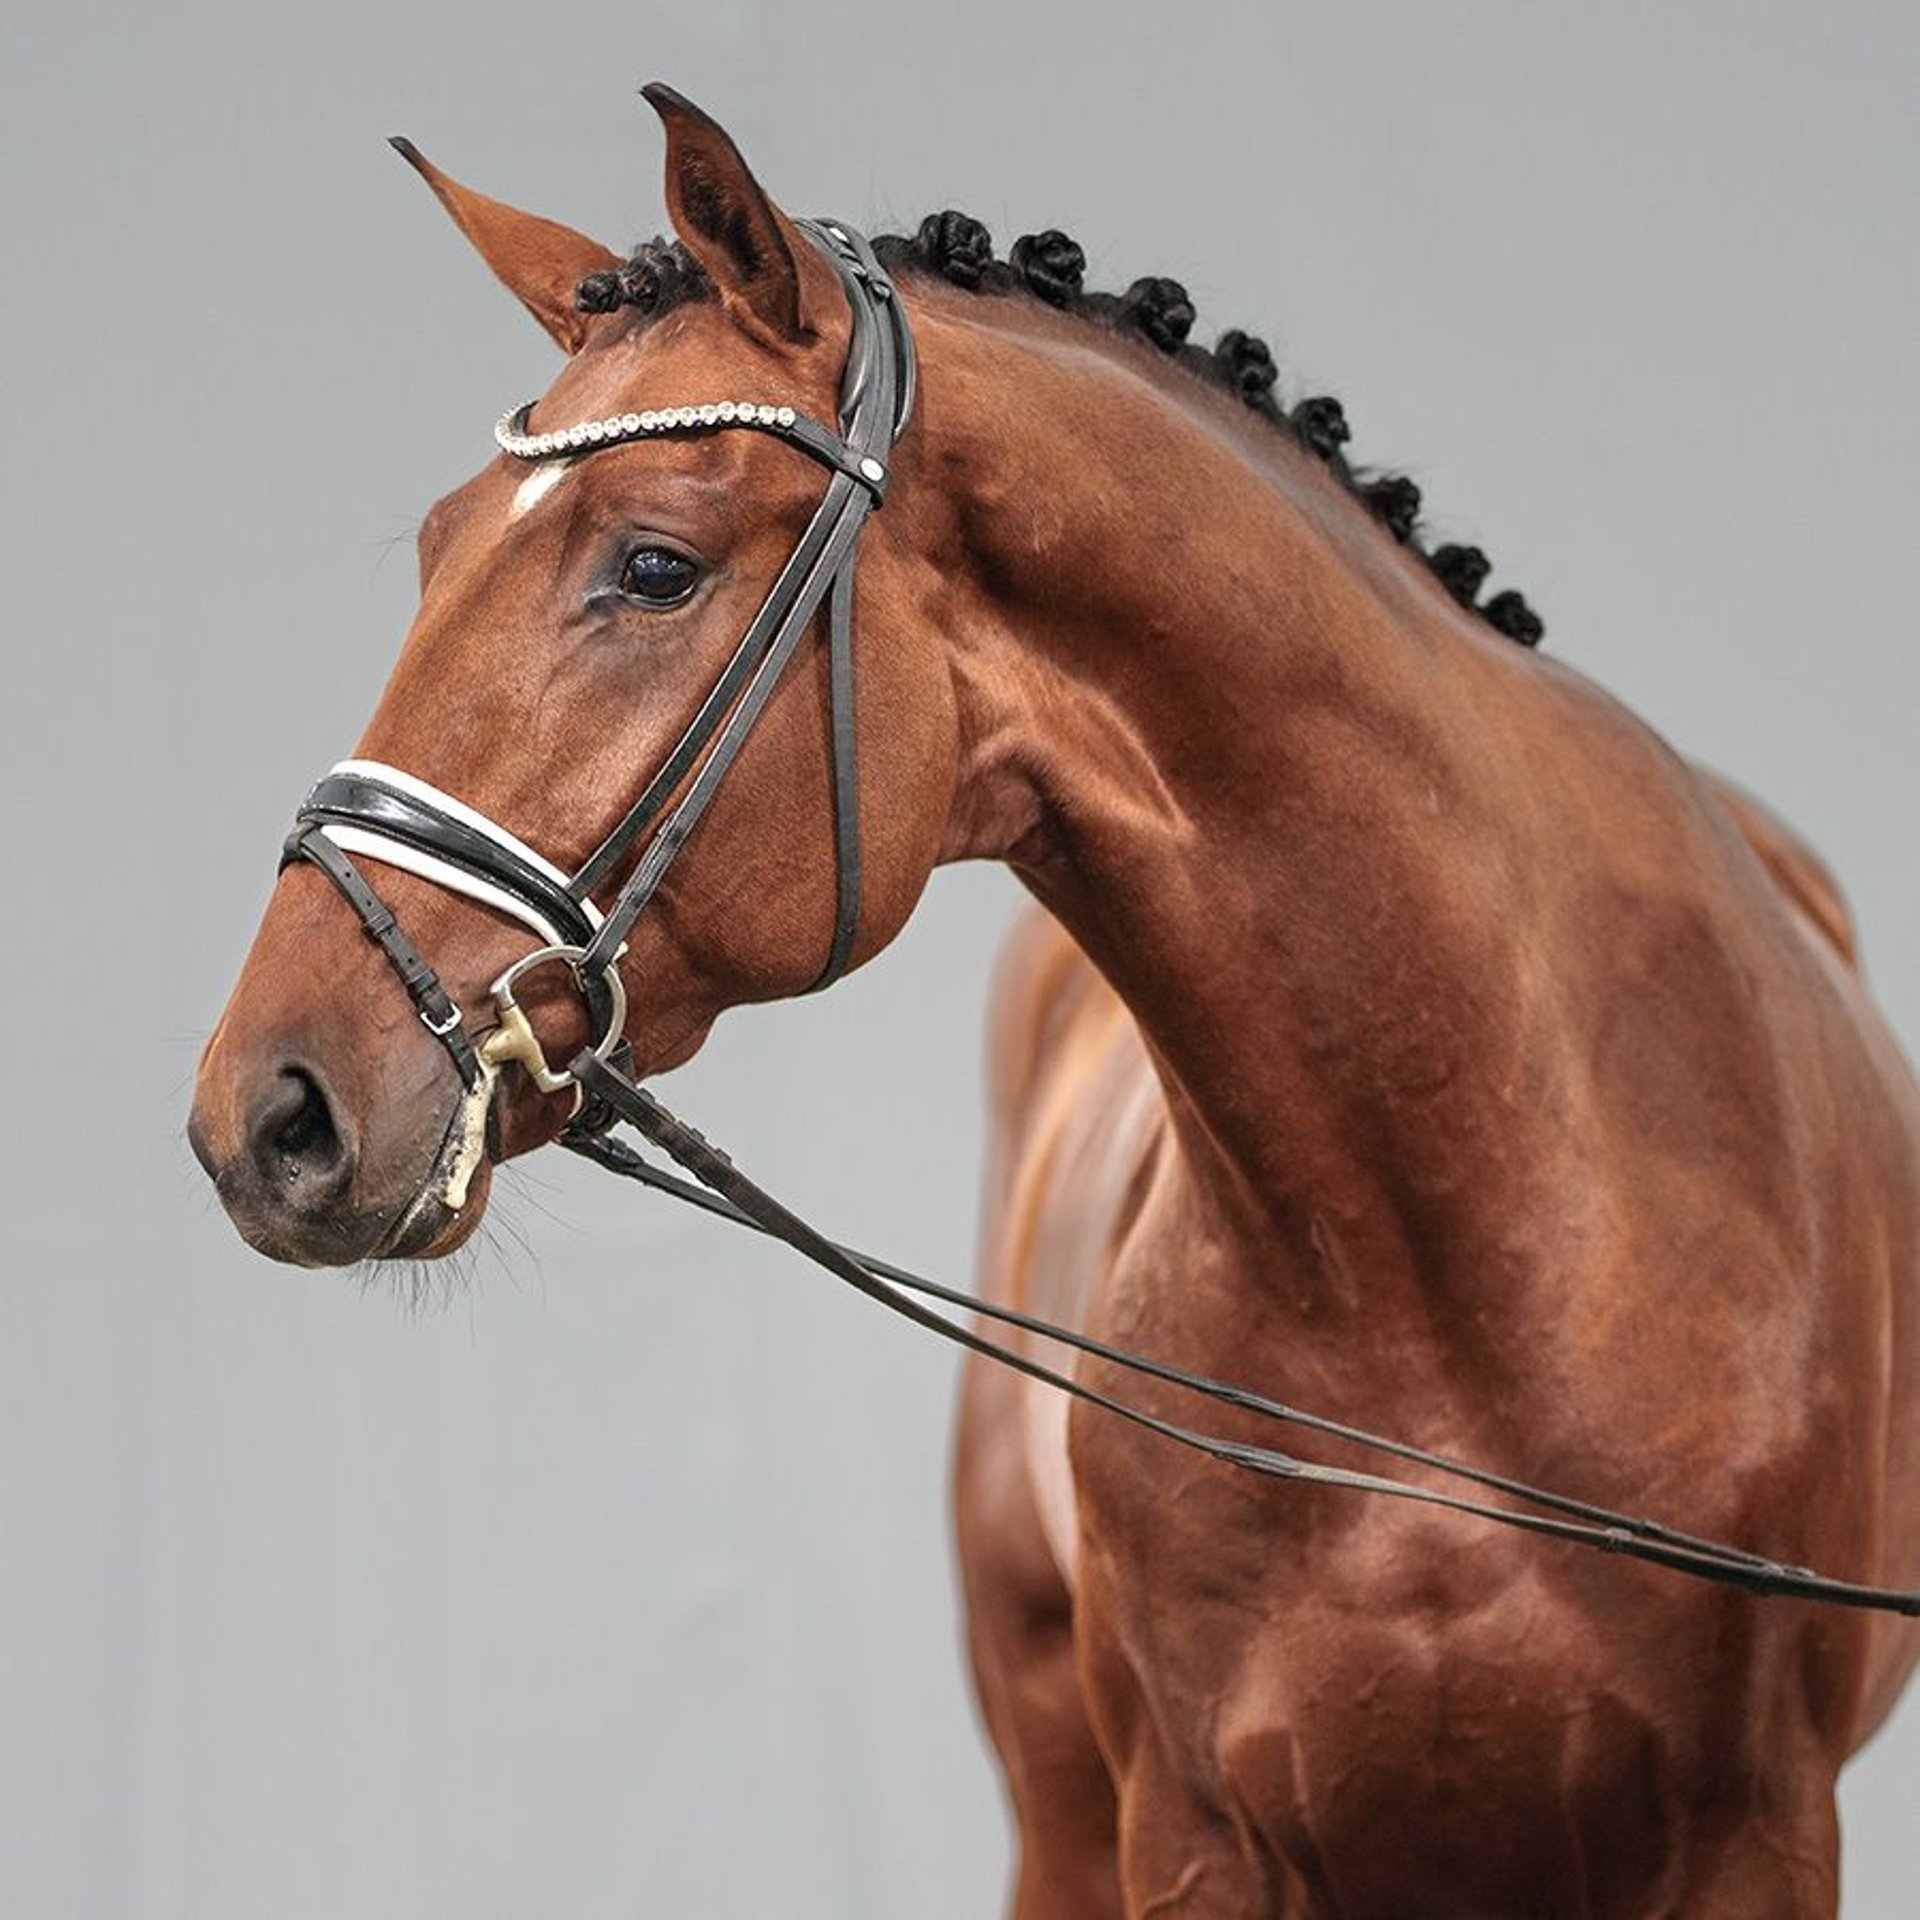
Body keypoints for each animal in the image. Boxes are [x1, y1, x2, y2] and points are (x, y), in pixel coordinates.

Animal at [189, 86, 1920, 1917]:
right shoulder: (1191, 1837)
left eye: (654, 566)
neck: (1481, 1227)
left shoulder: (1752, 1839)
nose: (266, 1109)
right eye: (437, 548)